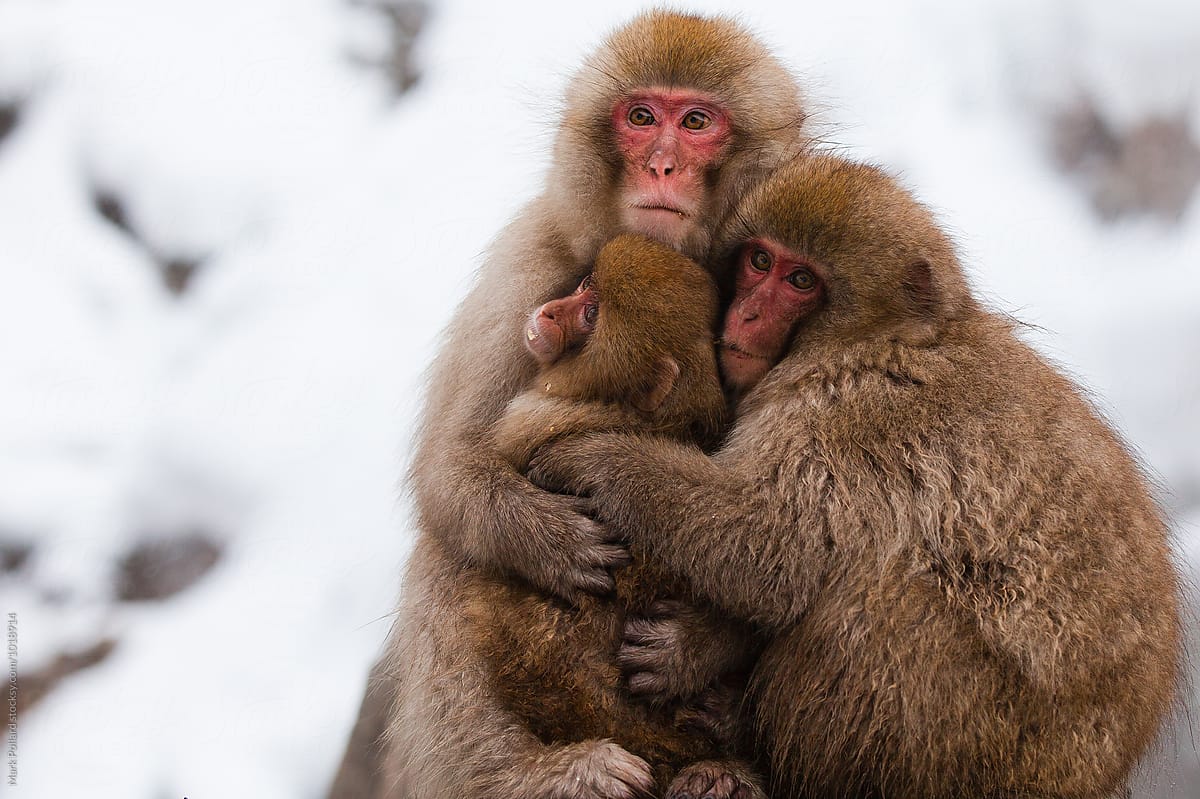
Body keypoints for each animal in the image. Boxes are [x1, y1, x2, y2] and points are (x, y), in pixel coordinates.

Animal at [327, 11, 808, 799]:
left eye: (696, 122)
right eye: (640, 118)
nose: (662, 166)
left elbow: (792, 553)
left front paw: (694, 644)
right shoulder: (530, 259)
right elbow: (448, 470)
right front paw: (548, 540)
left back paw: (719, 769)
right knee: (449, 557)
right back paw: (544, 774)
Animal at [527, 153, 1184, 799]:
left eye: (801, 281)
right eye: (760, 261)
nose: (748, 313)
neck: (885, 338)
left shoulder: (852, 412)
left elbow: (770, 549)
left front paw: (595, 459)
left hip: (972, 742)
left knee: (880, 599)